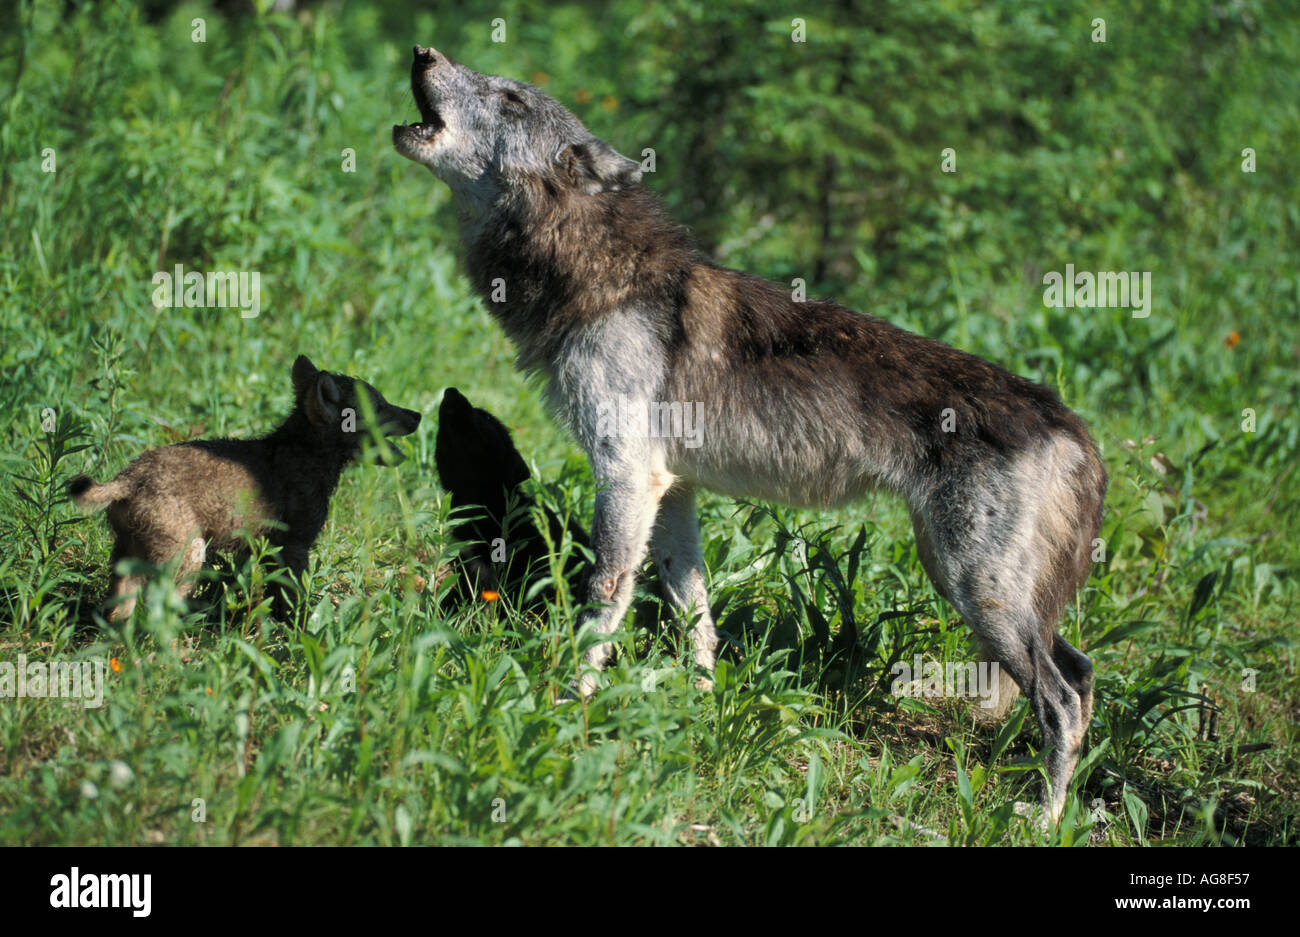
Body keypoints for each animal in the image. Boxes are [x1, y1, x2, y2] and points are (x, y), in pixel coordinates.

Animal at [70, 355, 421, 621]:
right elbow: (295, 601)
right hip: (187, 559)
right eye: (378, 405)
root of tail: (128, 478)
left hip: (126, 558)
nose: (417, 415)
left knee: (117, 615)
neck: (308, 454)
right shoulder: (295, 546)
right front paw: (299, 634)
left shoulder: (265, 549)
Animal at [393, 46, 1107, 823]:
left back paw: (1041, 817)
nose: (423, 52)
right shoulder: (670, 491)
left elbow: (602, 607)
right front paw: (700, 717)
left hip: (973, 587)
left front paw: (564, 708)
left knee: (1061, 699)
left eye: (511, 99)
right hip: (982, 585)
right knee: (1082, 672)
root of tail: (1072, 423)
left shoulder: (624, 477)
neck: (595, 274)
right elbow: (695, 619)